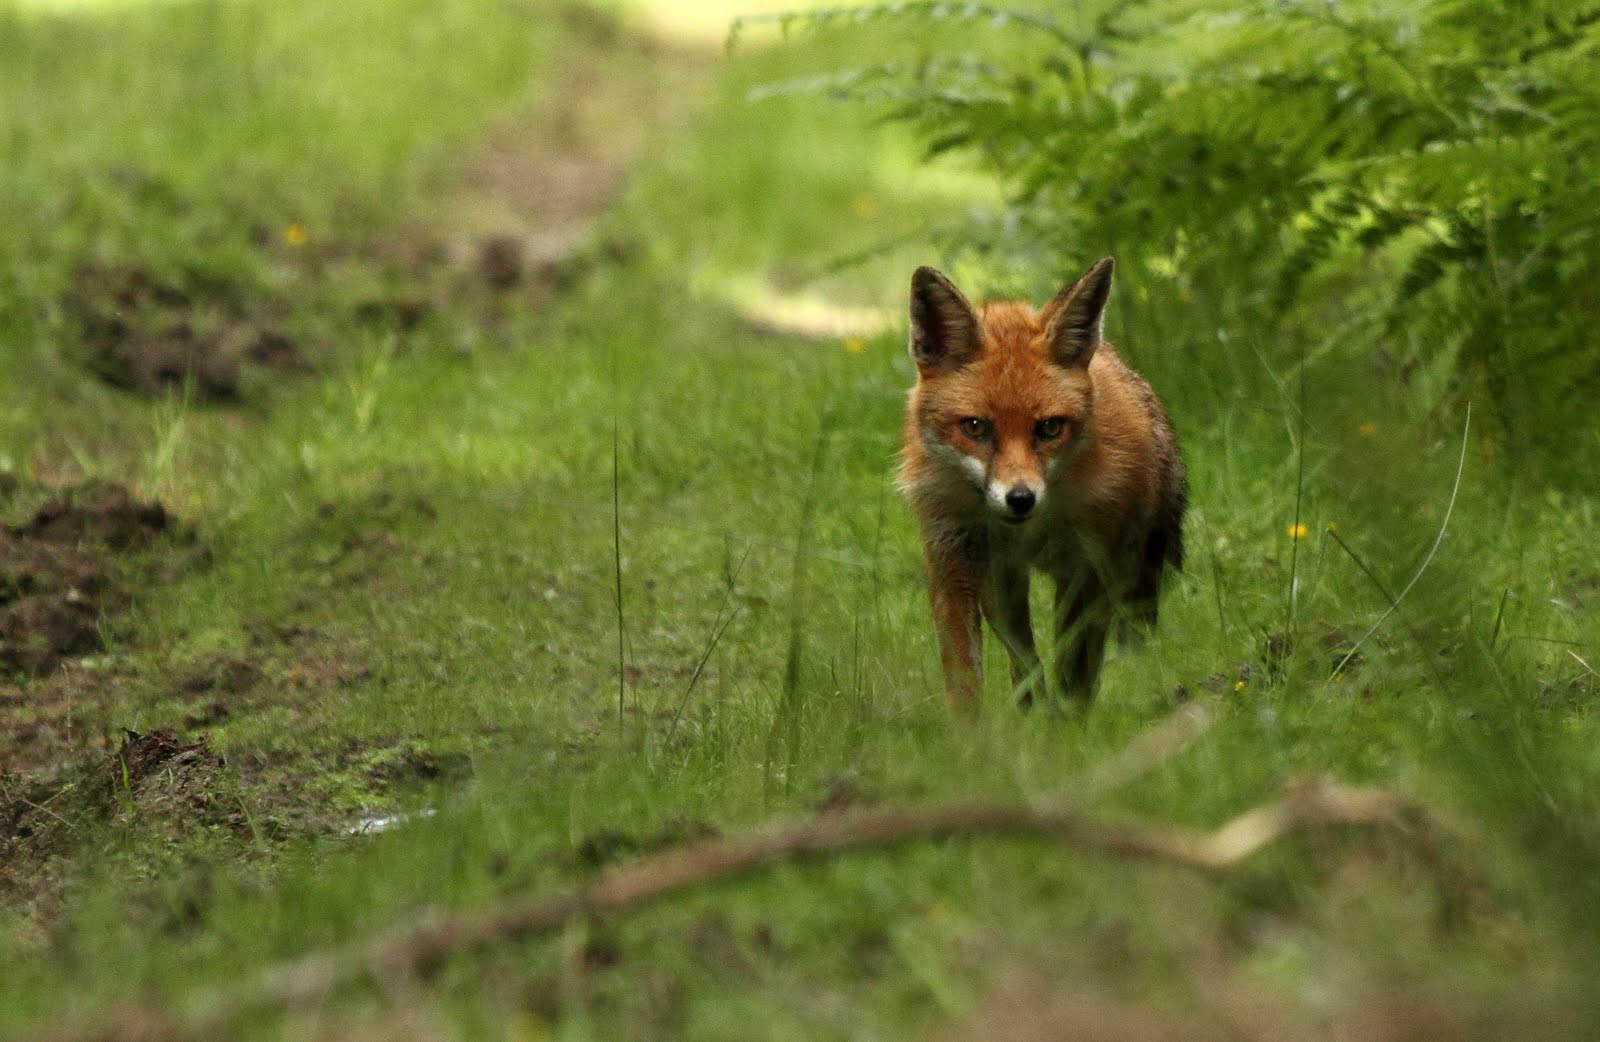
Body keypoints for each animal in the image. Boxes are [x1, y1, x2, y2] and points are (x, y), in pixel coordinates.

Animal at [897, 257, 1186, 713]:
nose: (1020, 499)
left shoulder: (1086, 565)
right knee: (1023, 655)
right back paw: (1030, 708)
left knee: (1126, 635)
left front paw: (1070, 722)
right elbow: (966, 675)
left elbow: (1074, 661)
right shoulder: (952, 559)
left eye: (1049, 428)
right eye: (975, 427)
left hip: (1131, 567)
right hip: (1002, 589)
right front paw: (975, 731)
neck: (1027, 534)